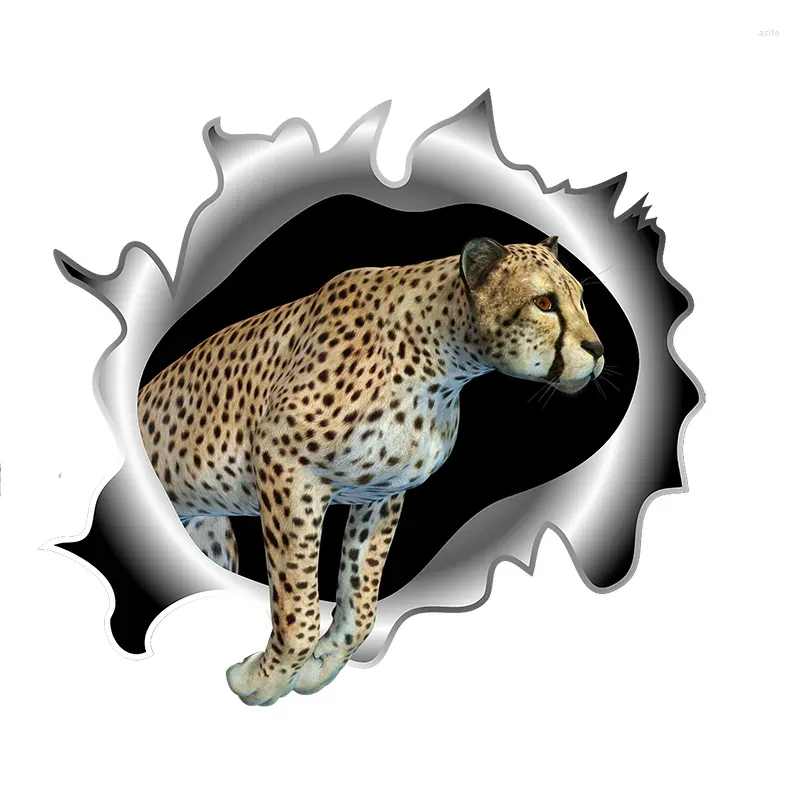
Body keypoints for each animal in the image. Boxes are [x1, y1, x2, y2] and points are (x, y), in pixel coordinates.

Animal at [137, 235, 605, 705]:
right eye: (544, 303)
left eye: (583, 302)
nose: (598, 350)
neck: (443, 367)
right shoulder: (285, 465)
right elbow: (298, 603)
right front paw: (262, 681)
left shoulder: (380, 494)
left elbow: (361, 602)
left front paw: (317, 668)